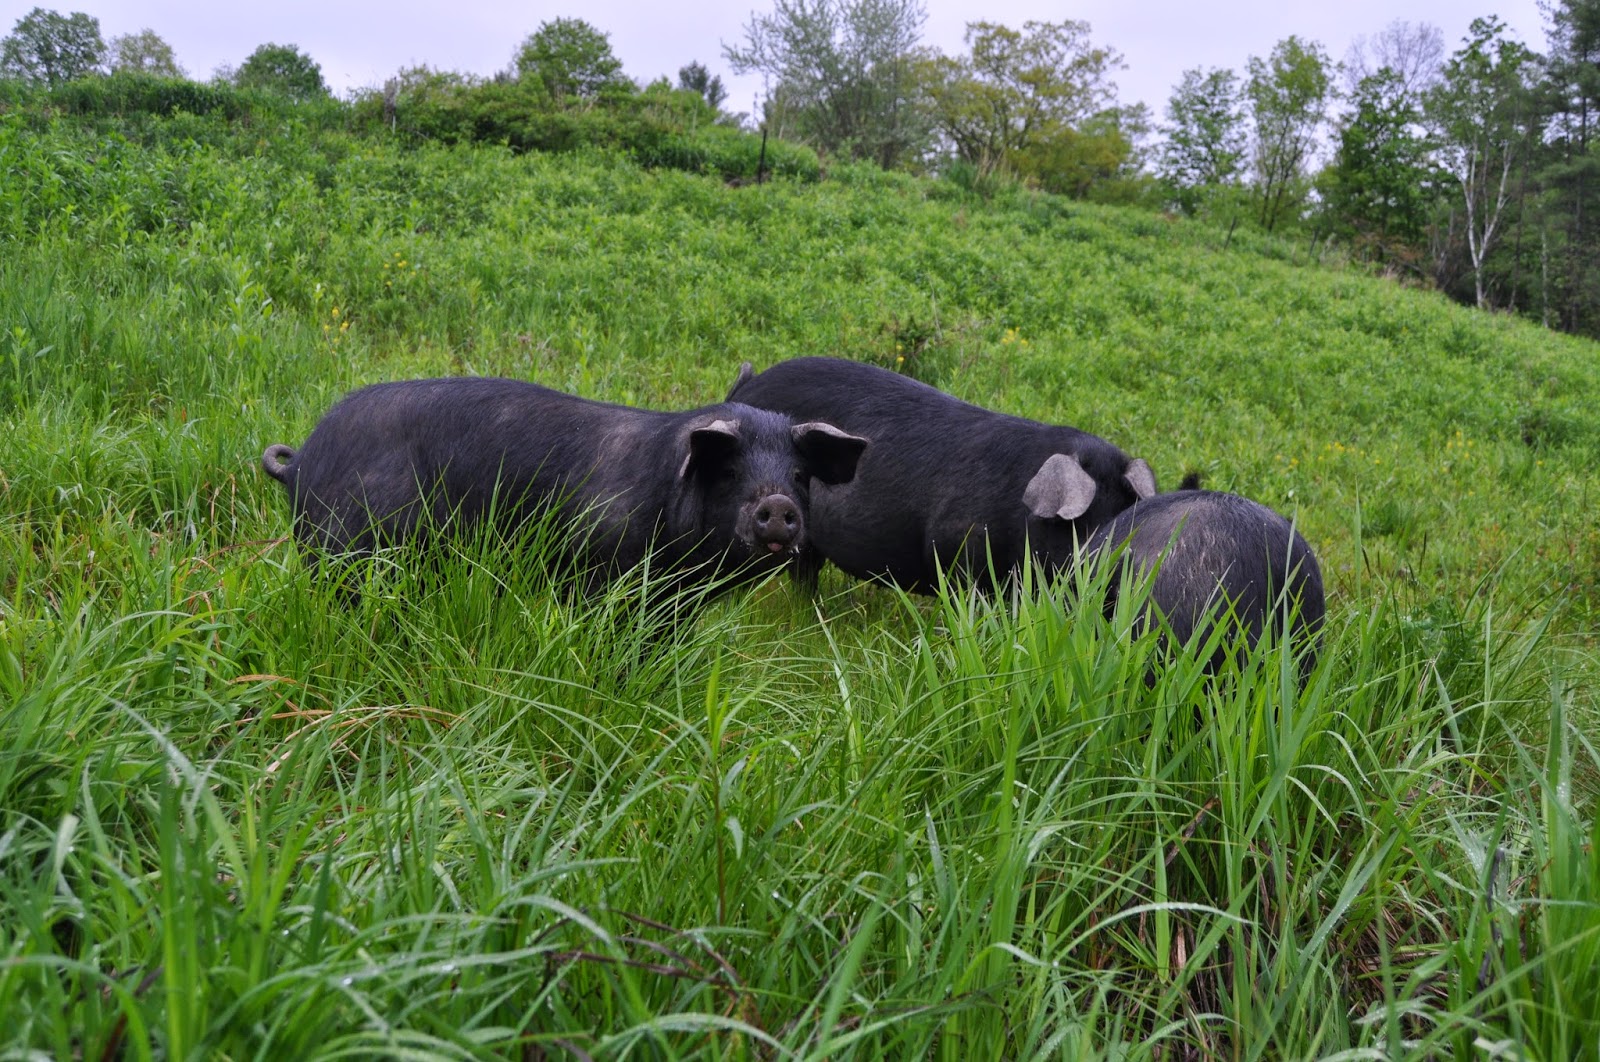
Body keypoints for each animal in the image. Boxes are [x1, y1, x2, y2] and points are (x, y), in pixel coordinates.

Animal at [259, 376, 868, 593]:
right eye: (731, 471)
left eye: (799, 475)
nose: (778, 505)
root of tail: (300, 462)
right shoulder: (595, 567)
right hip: (348, 544)